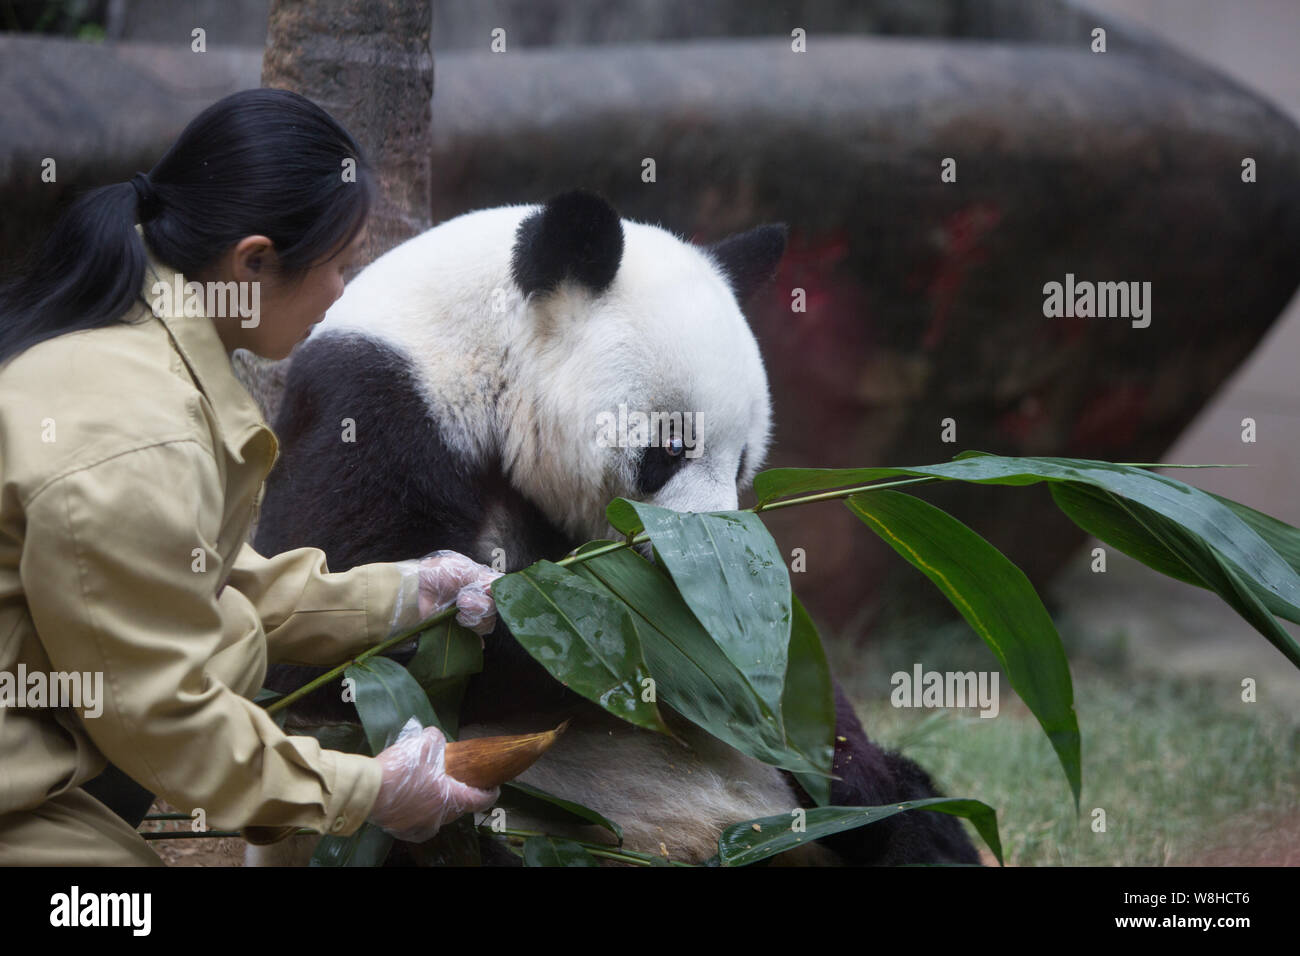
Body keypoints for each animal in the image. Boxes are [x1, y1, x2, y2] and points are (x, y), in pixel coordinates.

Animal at [252, 190, 981, 866]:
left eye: (744, 462)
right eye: (669, 450)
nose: (703, 562)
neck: (482, 346)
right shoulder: (377, 407)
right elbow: (328, 640)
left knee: (913, 814)